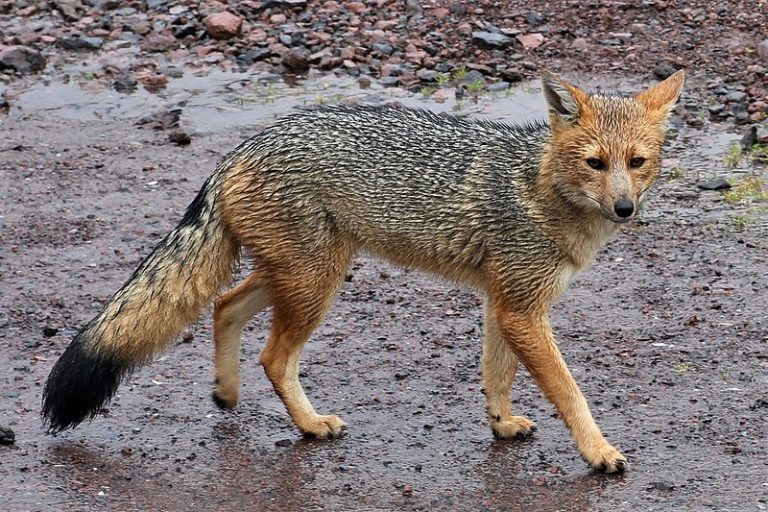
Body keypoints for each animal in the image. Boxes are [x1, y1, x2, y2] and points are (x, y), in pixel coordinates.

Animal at [42, 70, 684, 473]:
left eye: (636, 163)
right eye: (595, 163)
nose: (625, 209)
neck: (538, 186)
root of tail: (242, 148)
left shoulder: (506, 303)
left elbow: (496, 375)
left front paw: (501, 426)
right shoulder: (522, 309)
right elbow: (570, 392)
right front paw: (598, 453)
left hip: (298, 275)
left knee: (224, 307)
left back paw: (227, 393)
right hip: (316, 284)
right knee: (273, 355)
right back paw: (309, 425)